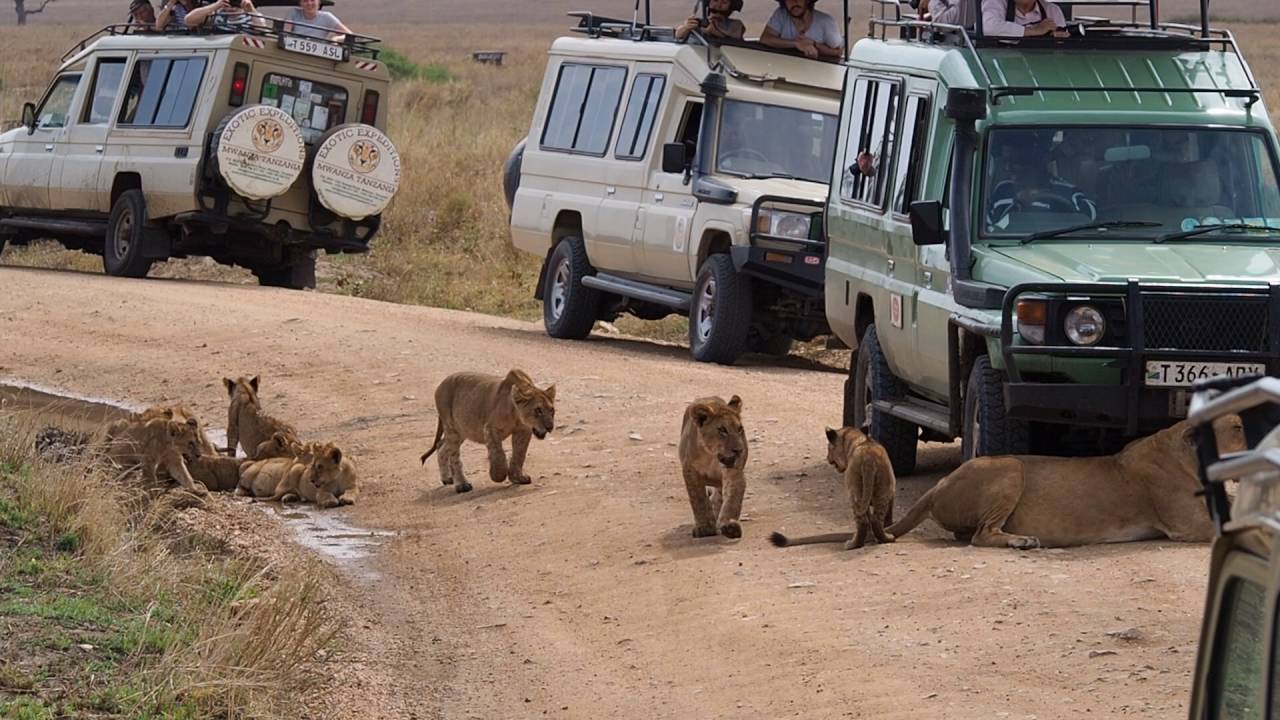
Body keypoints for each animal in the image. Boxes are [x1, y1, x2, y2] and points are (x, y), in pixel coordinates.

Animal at [419, 369, 556, 494]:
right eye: (538, 410)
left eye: (552, 410)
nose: (550, 427)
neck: (516, 414)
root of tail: (441, 385)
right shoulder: (490, 428)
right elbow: (498, 452)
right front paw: (498, 475)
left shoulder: (523, 431)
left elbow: (519, 454)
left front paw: (517, 478)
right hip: (452, 428)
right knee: (453, 456)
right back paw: (462, 485)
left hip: (463, 429)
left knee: (441, 446)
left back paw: (447, 478)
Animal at [678, 395, 748, 539]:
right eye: (722, 430)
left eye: (740, 429)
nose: (739, 450)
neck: (711, 457)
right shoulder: (690, 472)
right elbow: (698, 500)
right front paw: (705, 527)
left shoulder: (734, 472)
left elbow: (733, 499)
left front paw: (730, 526)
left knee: (718, 498)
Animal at [884, 417, 1247, 549]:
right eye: (1238, 426)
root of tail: (938, 486)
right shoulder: (1189, 524)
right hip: (1010, 466)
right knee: (980, 536)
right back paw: (1023, 541)